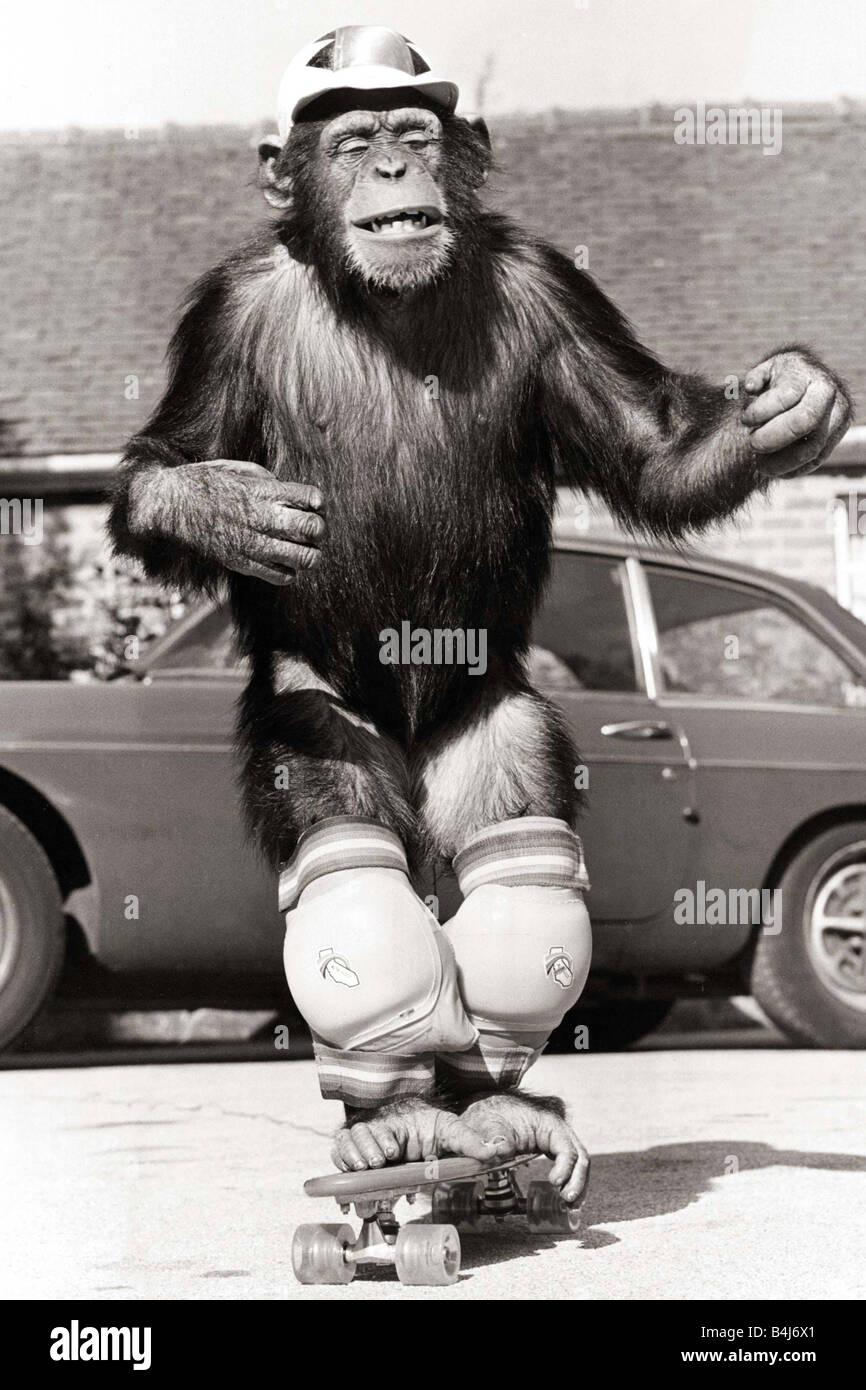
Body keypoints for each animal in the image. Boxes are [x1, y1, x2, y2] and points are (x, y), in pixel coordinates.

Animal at [108, 28, 851, 1206]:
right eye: (350, 143)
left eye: (415, 134)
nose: (392, 170)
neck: (384, 298)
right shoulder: (221, 315)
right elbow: (172, 453)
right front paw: (211, 502)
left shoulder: (553, 288)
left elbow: (648, 446)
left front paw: (791, 402)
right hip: (327, 724)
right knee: (346, 840)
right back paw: (395, 1121)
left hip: (492, 719)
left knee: (520, 848)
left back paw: (488, 1106)